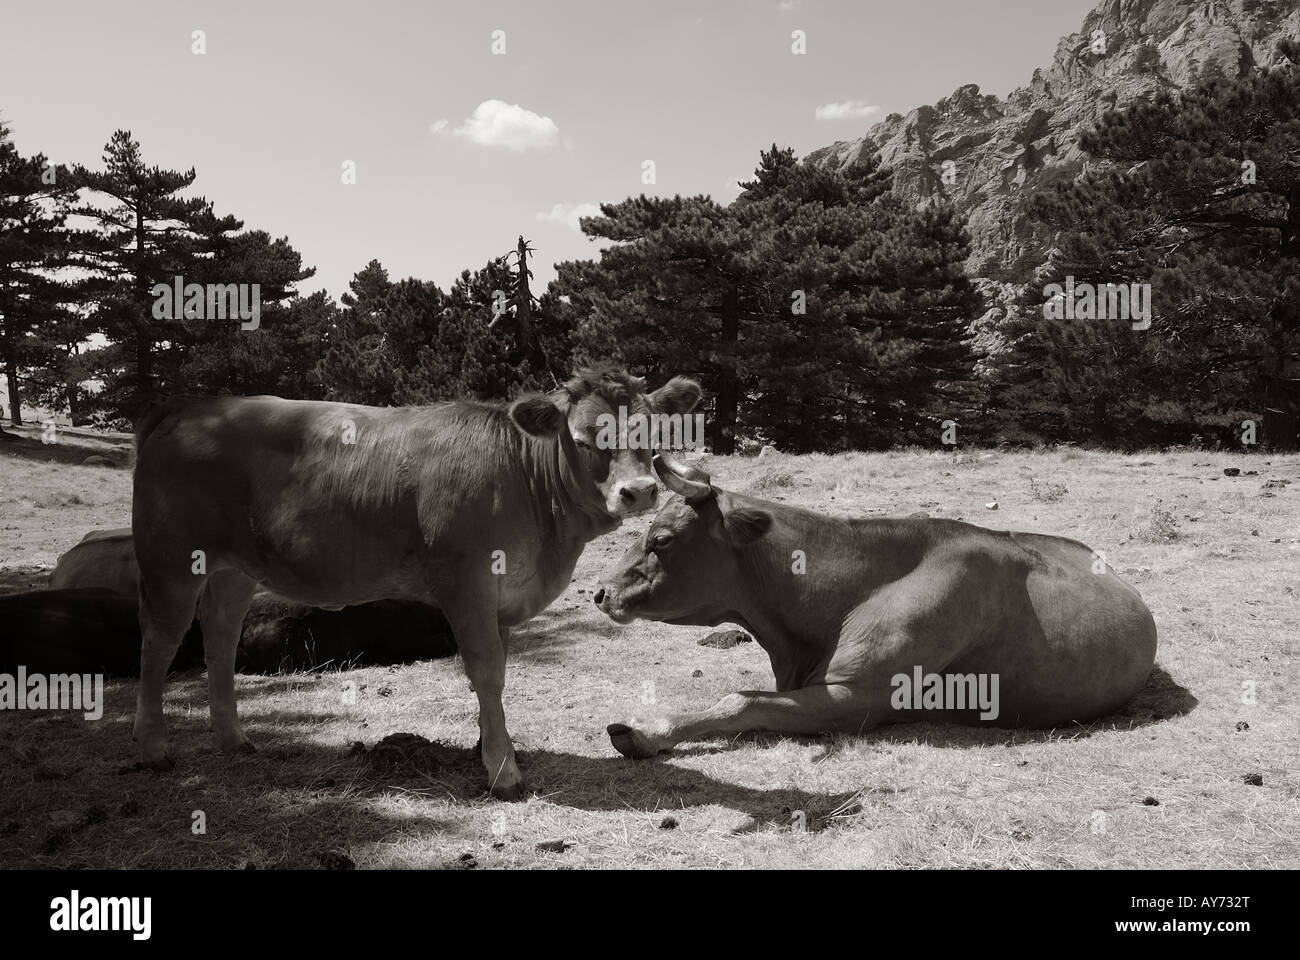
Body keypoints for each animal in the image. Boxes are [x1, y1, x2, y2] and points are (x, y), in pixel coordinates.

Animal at [131, 367, 701, 798]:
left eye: (652, 432)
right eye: (584, 439)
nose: (639, 491)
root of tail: (191, 405)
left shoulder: (501, 595)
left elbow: (495, 671)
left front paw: (487, 747)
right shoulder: (467, 584)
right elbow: (487, 672)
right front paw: (502, 772)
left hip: (234, 569)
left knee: (220, 637)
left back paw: (233, 739)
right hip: (169, 560)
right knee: (158, 644)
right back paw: (153, 748)